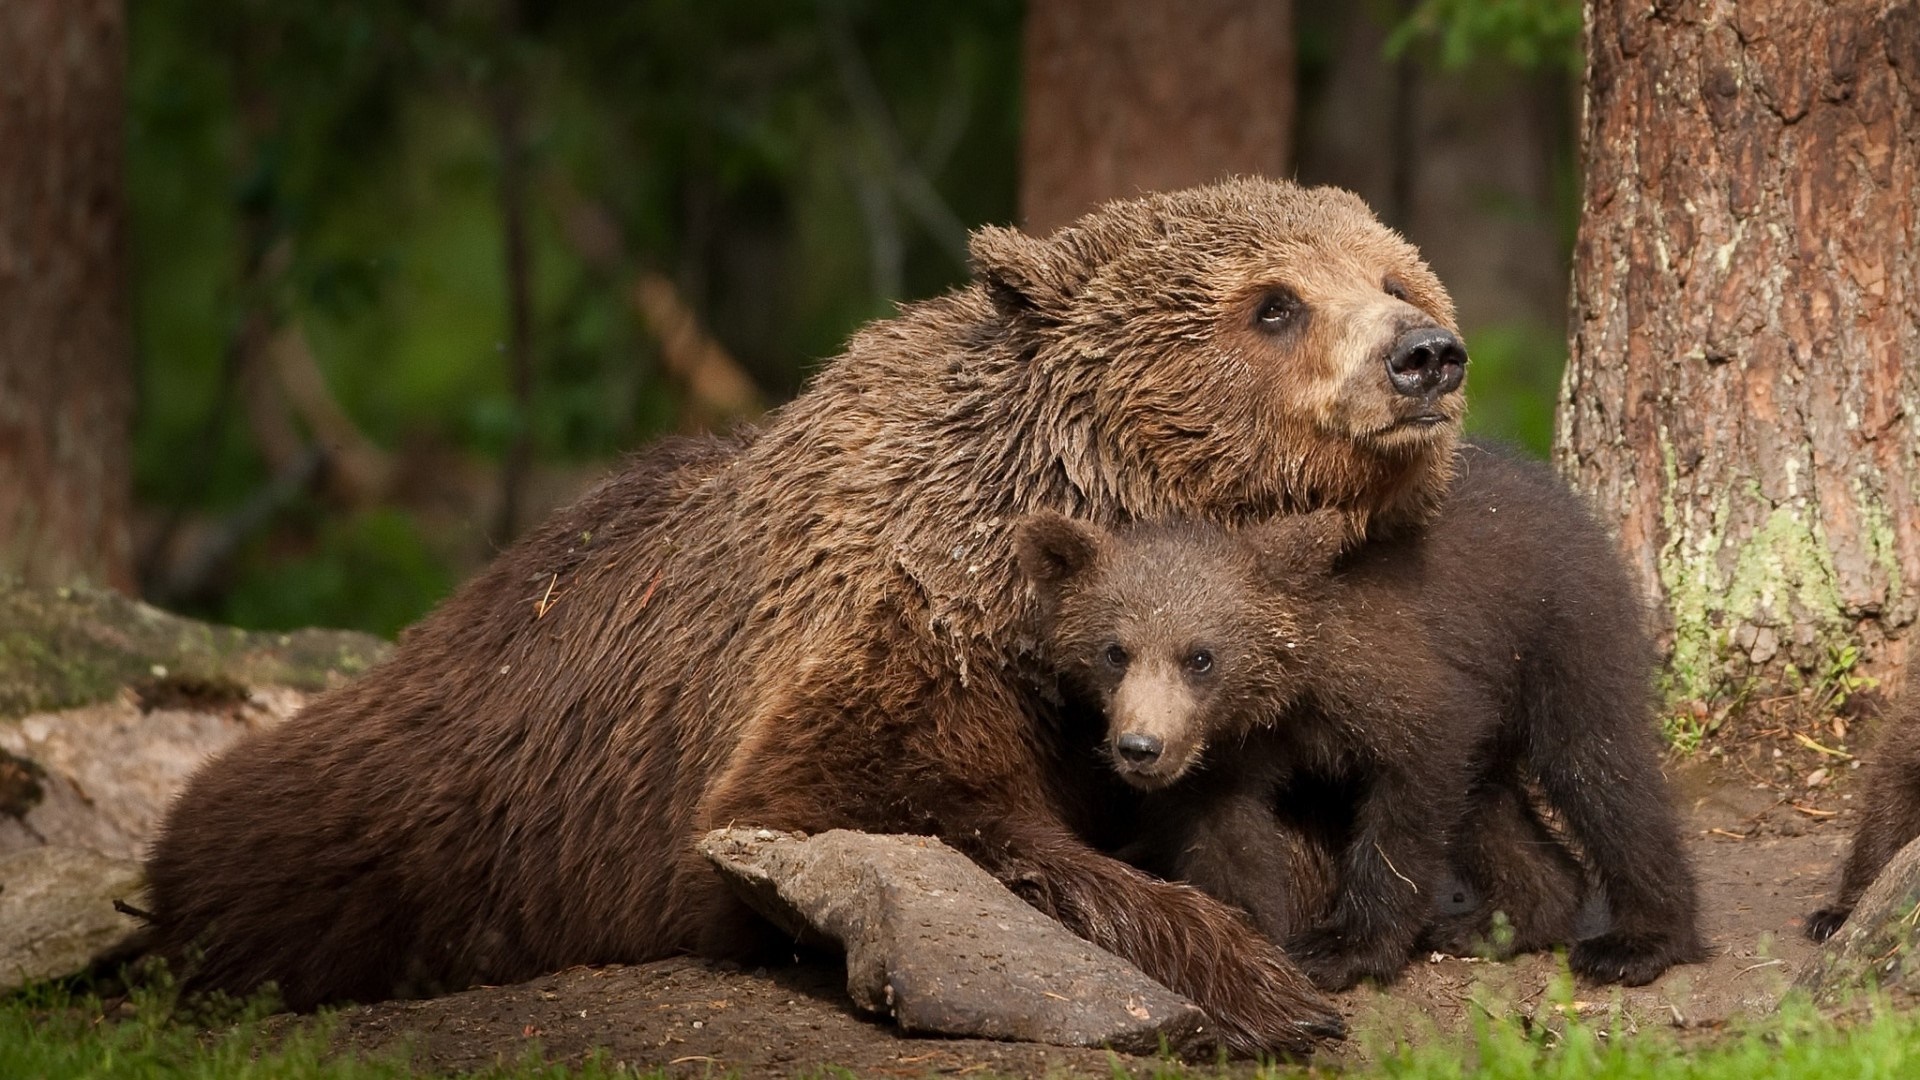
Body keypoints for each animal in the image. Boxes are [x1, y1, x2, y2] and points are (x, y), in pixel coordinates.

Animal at [143, 177, 1470, 1058]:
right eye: (1274, 304)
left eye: (1394, 274)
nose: (1428, 354)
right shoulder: (907, 637)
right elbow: (867, 806)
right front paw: (1258, 982)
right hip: (418, 807)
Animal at [1015, 443, 1705, 990]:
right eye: (1114, 651)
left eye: (1201, 657)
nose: (1141, 747)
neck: (1283, 694)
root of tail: (1557, 490)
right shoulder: (1226, 753)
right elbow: (1228, 837)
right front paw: (1247, 933)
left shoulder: (1389, 677)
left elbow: (1410, 795)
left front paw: (1344, 948)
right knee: (1491, 802)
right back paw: (1499, 922)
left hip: (1560, 630)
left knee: (1599, 768)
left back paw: (1638, 942)